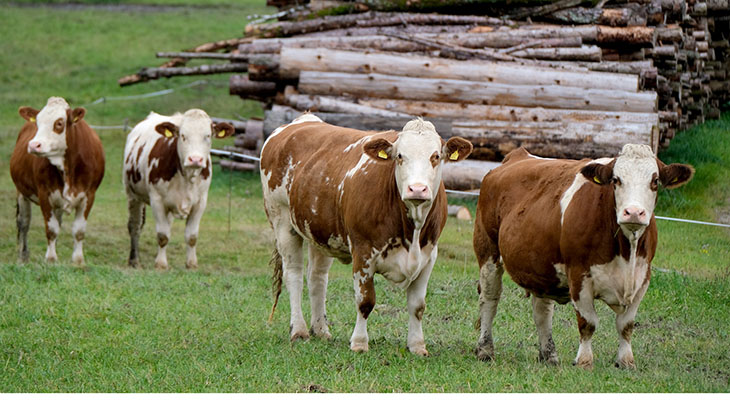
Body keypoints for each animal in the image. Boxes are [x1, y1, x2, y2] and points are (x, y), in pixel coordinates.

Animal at [10, 97, 105, 265]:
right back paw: (23, 256)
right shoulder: (44, 194)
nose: (34, 145)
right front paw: (51, 258)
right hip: (21, 192)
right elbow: (51, 229)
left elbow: (79, 230)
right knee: (24, 223)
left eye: (59, 123)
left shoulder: (89, 195)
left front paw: (78, 260)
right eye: (37, 122)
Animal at [122, 109, 234, 270]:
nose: (195, 159)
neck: (187, 176)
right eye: (183, 136)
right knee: (135, 226)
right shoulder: (157, 200)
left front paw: (191, 264)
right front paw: (161, 264)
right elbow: (162, 235)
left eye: (207, 135)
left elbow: (191, 236)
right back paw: (134, 260)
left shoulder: (200, 202)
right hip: (133, 195)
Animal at [260, 114, 473, 355]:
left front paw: (417, 345)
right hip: (282, 222)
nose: (417, 189)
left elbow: (417, 306)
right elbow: (365, 301)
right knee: (294, 275)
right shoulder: (363, 252)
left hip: (319, 231)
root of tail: (302, 120)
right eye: (400, 156)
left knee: (317, 277)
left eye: (435, 156)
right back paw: (299, 330)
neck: (412, 232)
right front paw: (359, 343)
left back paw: (321, 330)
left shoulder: (429, 255)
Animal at [473, 144, 694, 369]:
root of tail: (517, 155)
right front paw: (584, 361)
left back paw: (549, 355)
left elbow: (626, 325)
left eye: (655, 181)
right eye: (616, 180)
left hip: (542, 266)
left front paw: (626, 361)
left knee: (542, 311)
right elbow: (588, 323)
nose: (633, 212)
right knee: (489, 298)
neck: (626, 253)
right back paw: (485, 350)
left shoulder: (643, 277)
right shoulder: (579, 275)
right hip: (487, 250)